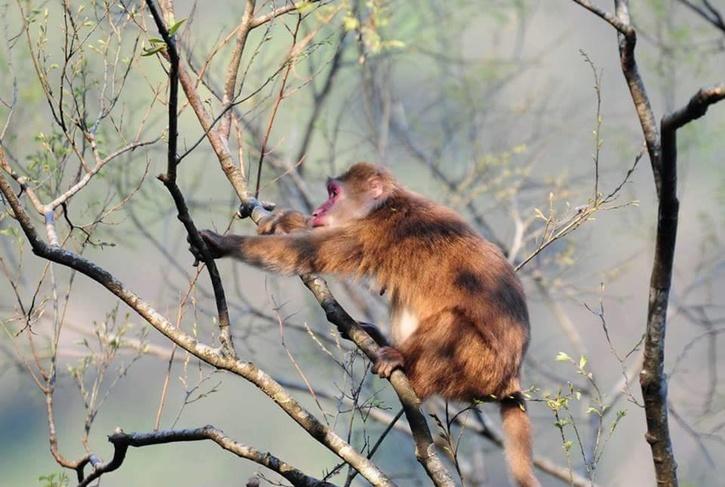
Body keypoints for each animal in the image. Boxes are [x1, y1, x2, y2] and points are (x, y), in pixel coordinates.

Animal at [193, 162, 540, 487]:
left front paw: (225, 243)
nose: (318, 210)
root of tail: (510, 380)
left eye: (333, 194)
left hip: (478, 367)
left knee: (452, 321)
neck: (385, 205)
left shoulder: (374, 232)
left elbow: (308, 252)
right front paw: (284, 219)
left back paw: (404, 365)